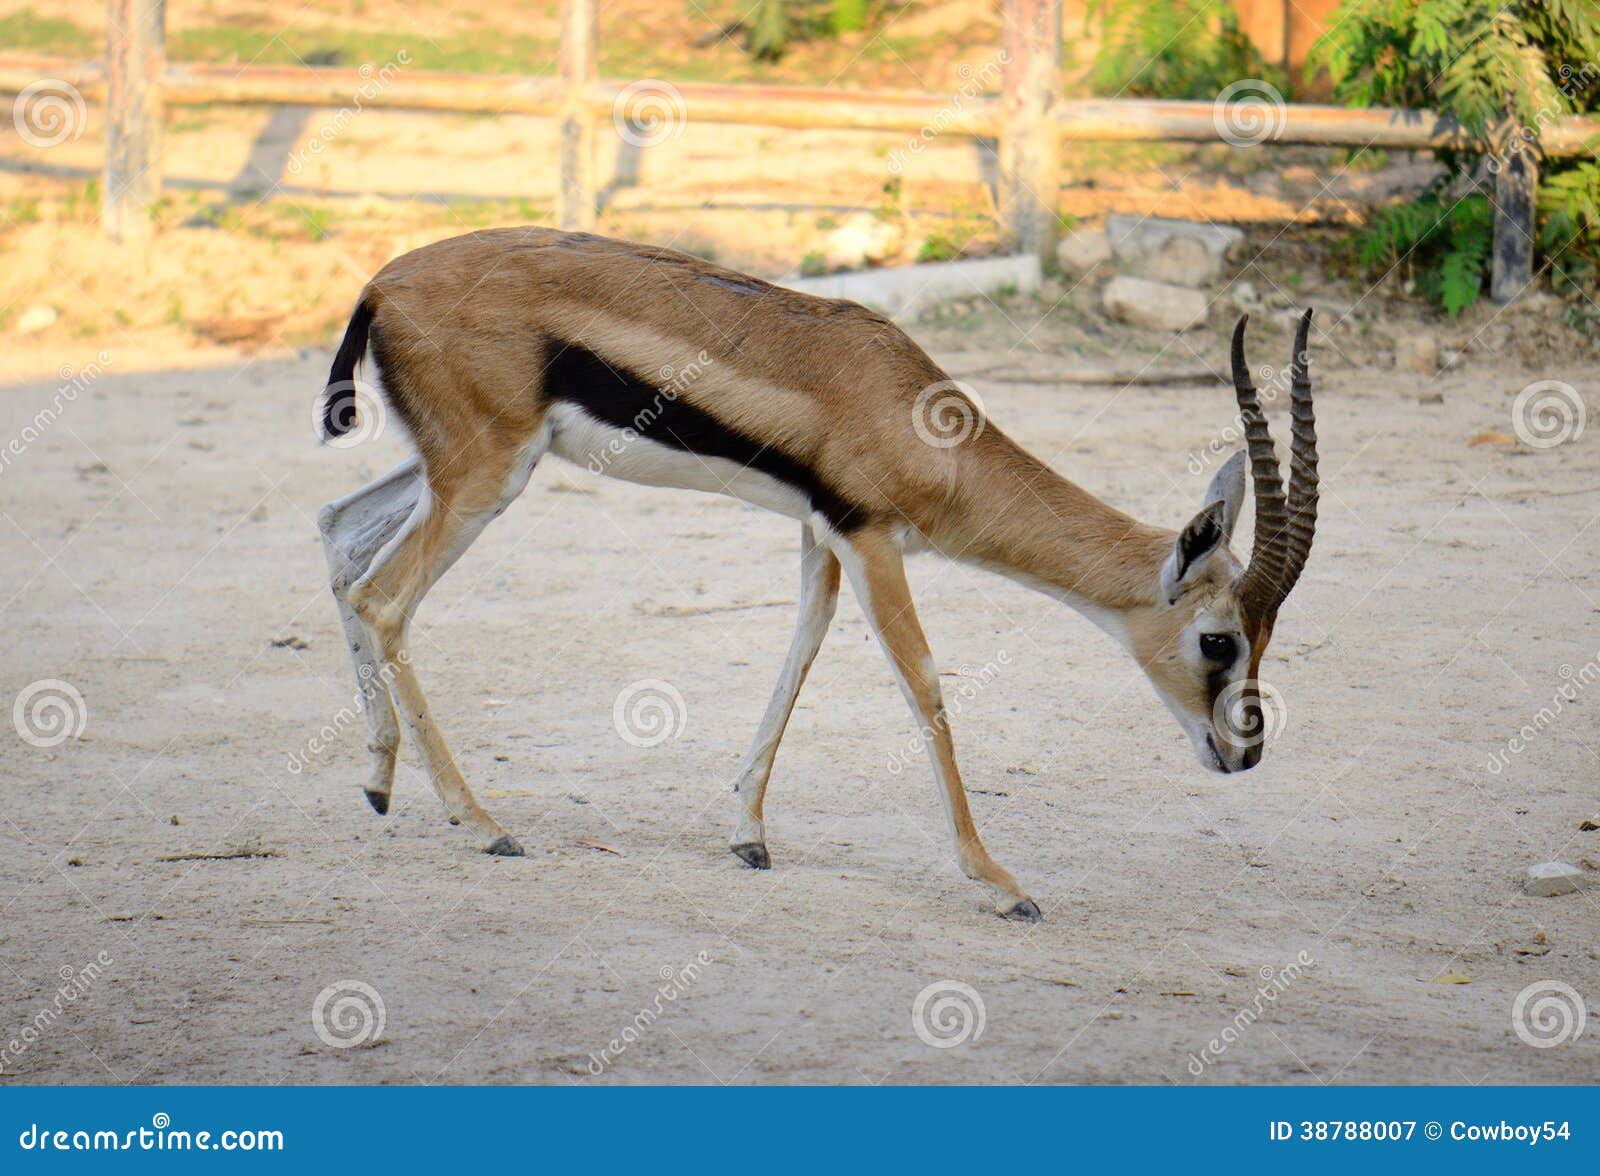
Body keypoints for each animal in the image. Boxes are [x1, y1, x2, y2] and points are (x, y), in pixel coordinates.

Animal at [316, 228, 1319, 922]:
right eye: (1217, 641)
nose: (1245, 751)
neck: (916, 416)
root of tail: (380, 284)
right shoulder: (871, 540)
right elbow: (925, 685)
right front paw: (1001, 884)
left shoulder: (820, 534)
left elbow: (799, 652)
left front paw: (748, 837)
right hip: (487, 476)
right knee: (384, 596)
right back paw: (483, 825)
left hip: (456, 471)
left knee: (339, 534)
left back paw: (378, 782)